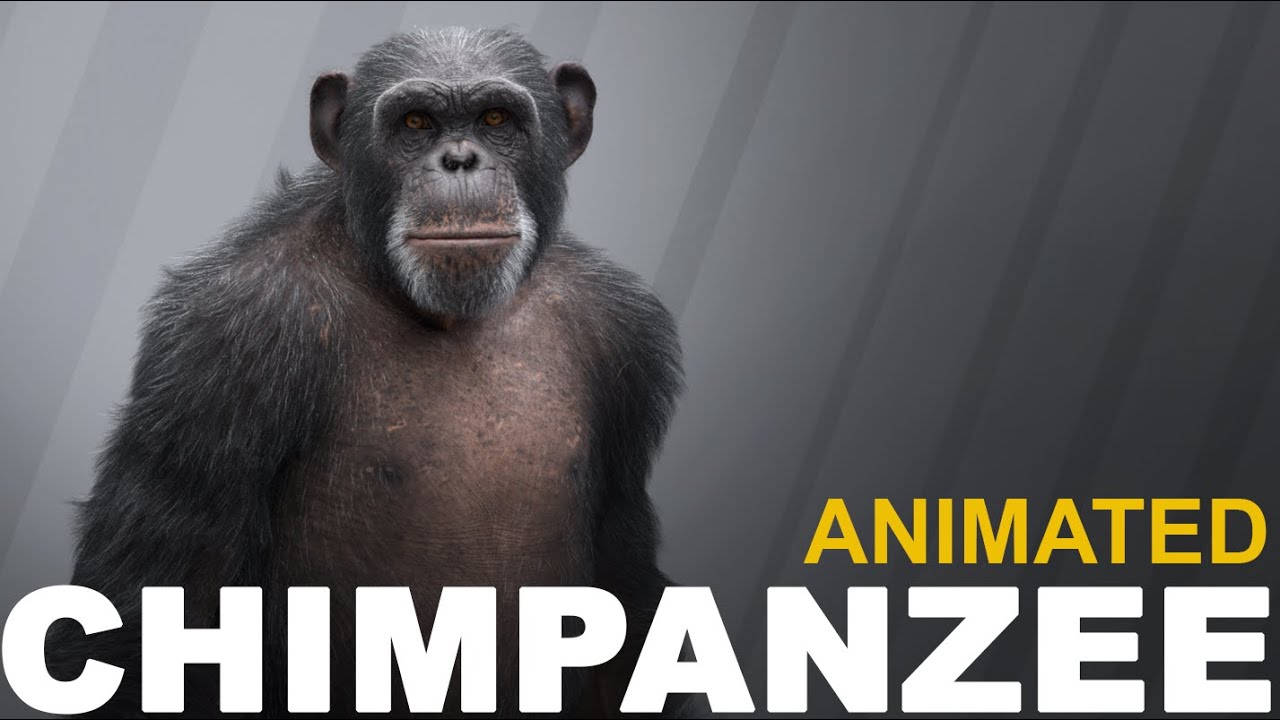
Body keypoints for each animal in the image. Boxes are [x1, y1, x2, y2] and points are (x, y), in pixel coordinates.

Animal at [45, 28, 702, 718]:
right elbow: (150, 621)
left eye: (496, 120)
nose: (459, 159)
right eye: (415, 123)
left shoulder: (629, 334)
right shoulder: (222, 341)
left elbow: (625, 582)